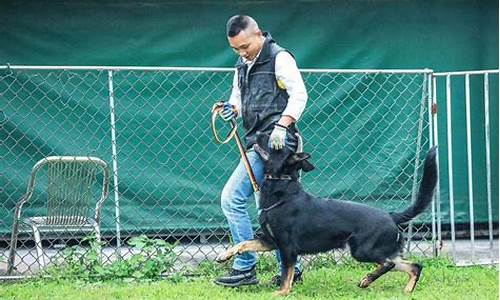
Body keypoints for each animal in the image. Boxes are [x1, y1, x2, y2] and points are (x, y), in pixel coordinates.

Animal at [216, 135, 438, 296]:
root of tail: (391, 216)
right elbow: (243, 243)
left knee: (389, 264)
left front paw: (281, 293)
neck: (282, 190)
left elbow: (287, 274)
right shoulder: (271, 242)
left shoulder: (287, 248)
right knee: (414, 266)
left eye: (276, 147)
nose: (257, 134)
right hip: (376, 251)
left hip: (362, 251)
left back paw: (366, 280)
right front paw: (224, 255)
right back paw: (406, 289)